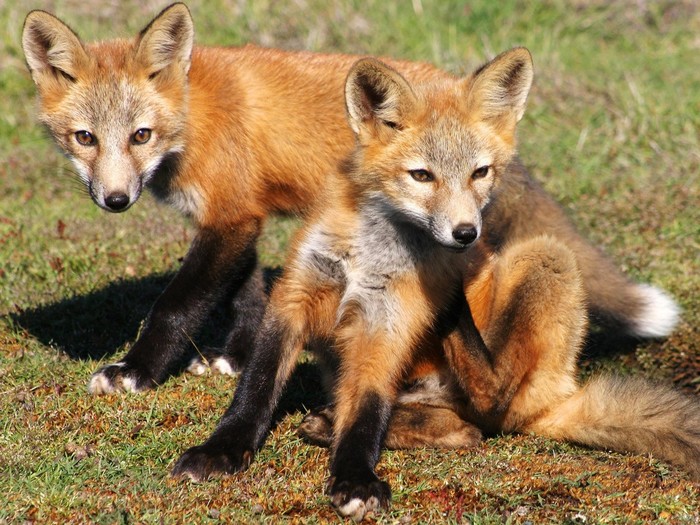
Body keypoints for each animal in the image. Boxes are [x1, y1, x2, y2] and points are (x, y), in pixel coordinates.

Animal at [22, 3, 679, 396]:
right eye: (85, 138)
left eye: (140, 136)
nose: (114, 199)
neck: (194, 120)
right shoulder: (244, 218)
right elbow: (250, 293)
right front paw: (238, 359)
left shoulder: (230, 217)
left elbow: (175, 305)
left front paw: (135, 371)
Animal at [170, 50, 699, 519]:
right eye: (421, 175)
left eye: (480, 172)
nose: (465, 235)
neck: (370, 256)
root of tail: (561, 390)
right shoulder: (296, 295)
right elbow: (257, 387)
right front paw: (221, 452)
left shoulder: (387, 322)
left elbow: (366, 415)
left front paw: (355, 479)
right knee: (461, 430)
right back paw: (332, 420)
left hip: (544, 256)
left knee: (492, 399)